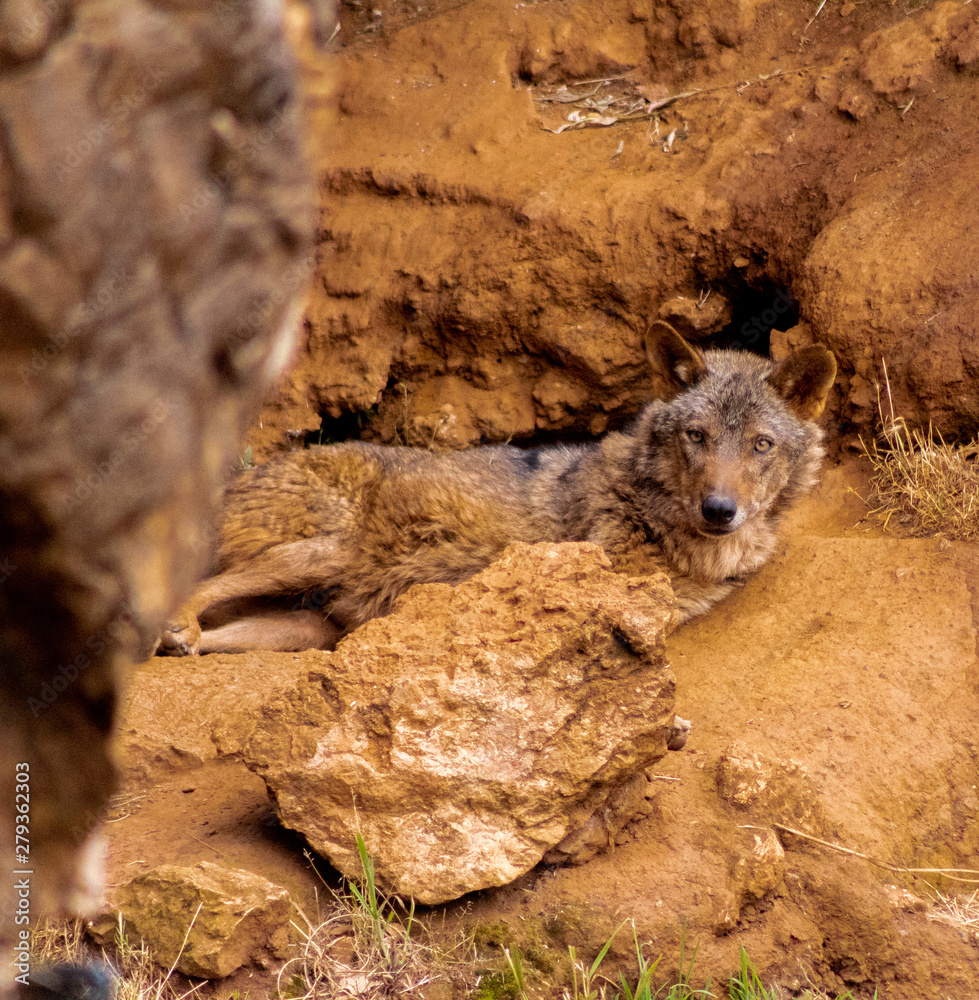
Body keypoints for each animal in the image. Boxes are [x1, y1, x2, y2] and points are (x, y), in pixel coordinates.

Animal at [157, 322, 836, 655]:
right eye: (697, 435)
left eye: (761, 444)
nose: (720, 510)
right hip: (324, 553)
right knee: (196, 591)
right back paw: (178, 623)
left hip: (309, 629)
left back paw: (180, 642)